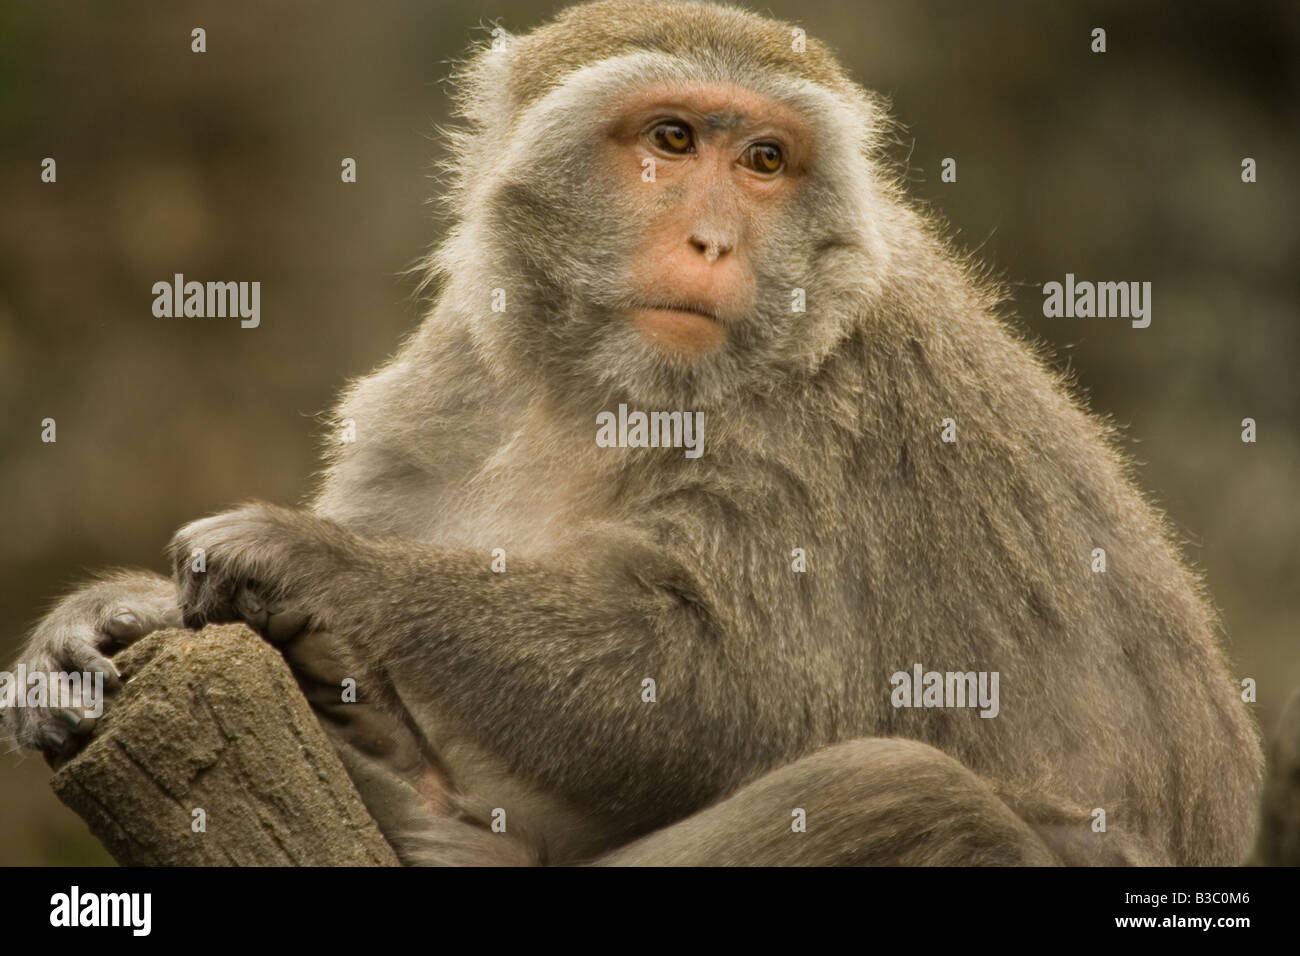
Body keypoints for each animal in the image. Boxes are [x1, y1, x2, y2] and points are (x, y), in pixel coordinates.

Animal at [4, 0, 1263, 866]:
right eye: (670, 139)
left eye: (764, 161)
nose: (713, 239)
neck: (607, 385)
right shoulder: (466, 364)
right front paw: (117, 615)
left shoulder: (819, 410)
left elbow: (732, 693)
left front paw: (316, 561)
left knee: (907, 794)